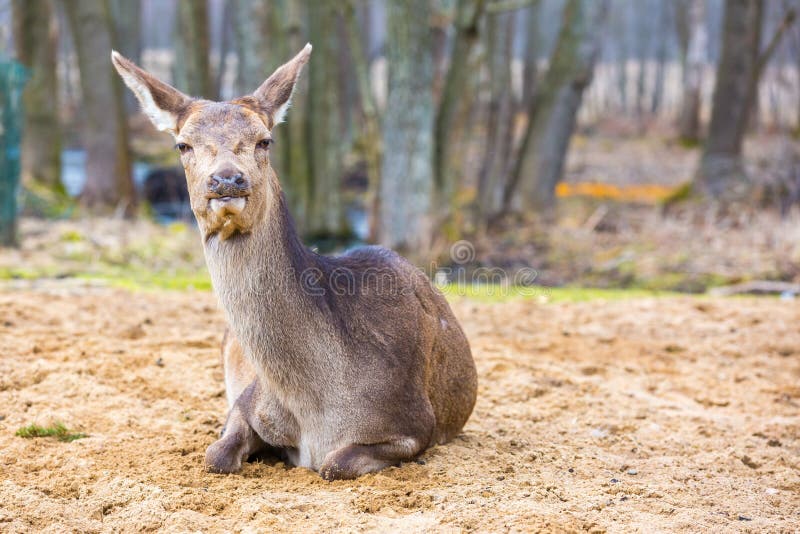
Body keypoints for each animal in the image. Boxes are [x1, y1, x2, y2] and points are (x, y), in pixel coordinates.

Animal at [111, 45, 477, 480]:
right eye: (182, 144)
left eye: (264, 140)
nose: (227, 179)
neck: (316, 410)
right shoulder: (248, 401)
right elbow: (215, 455)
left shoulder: (414, 424)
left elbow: (333, 465)